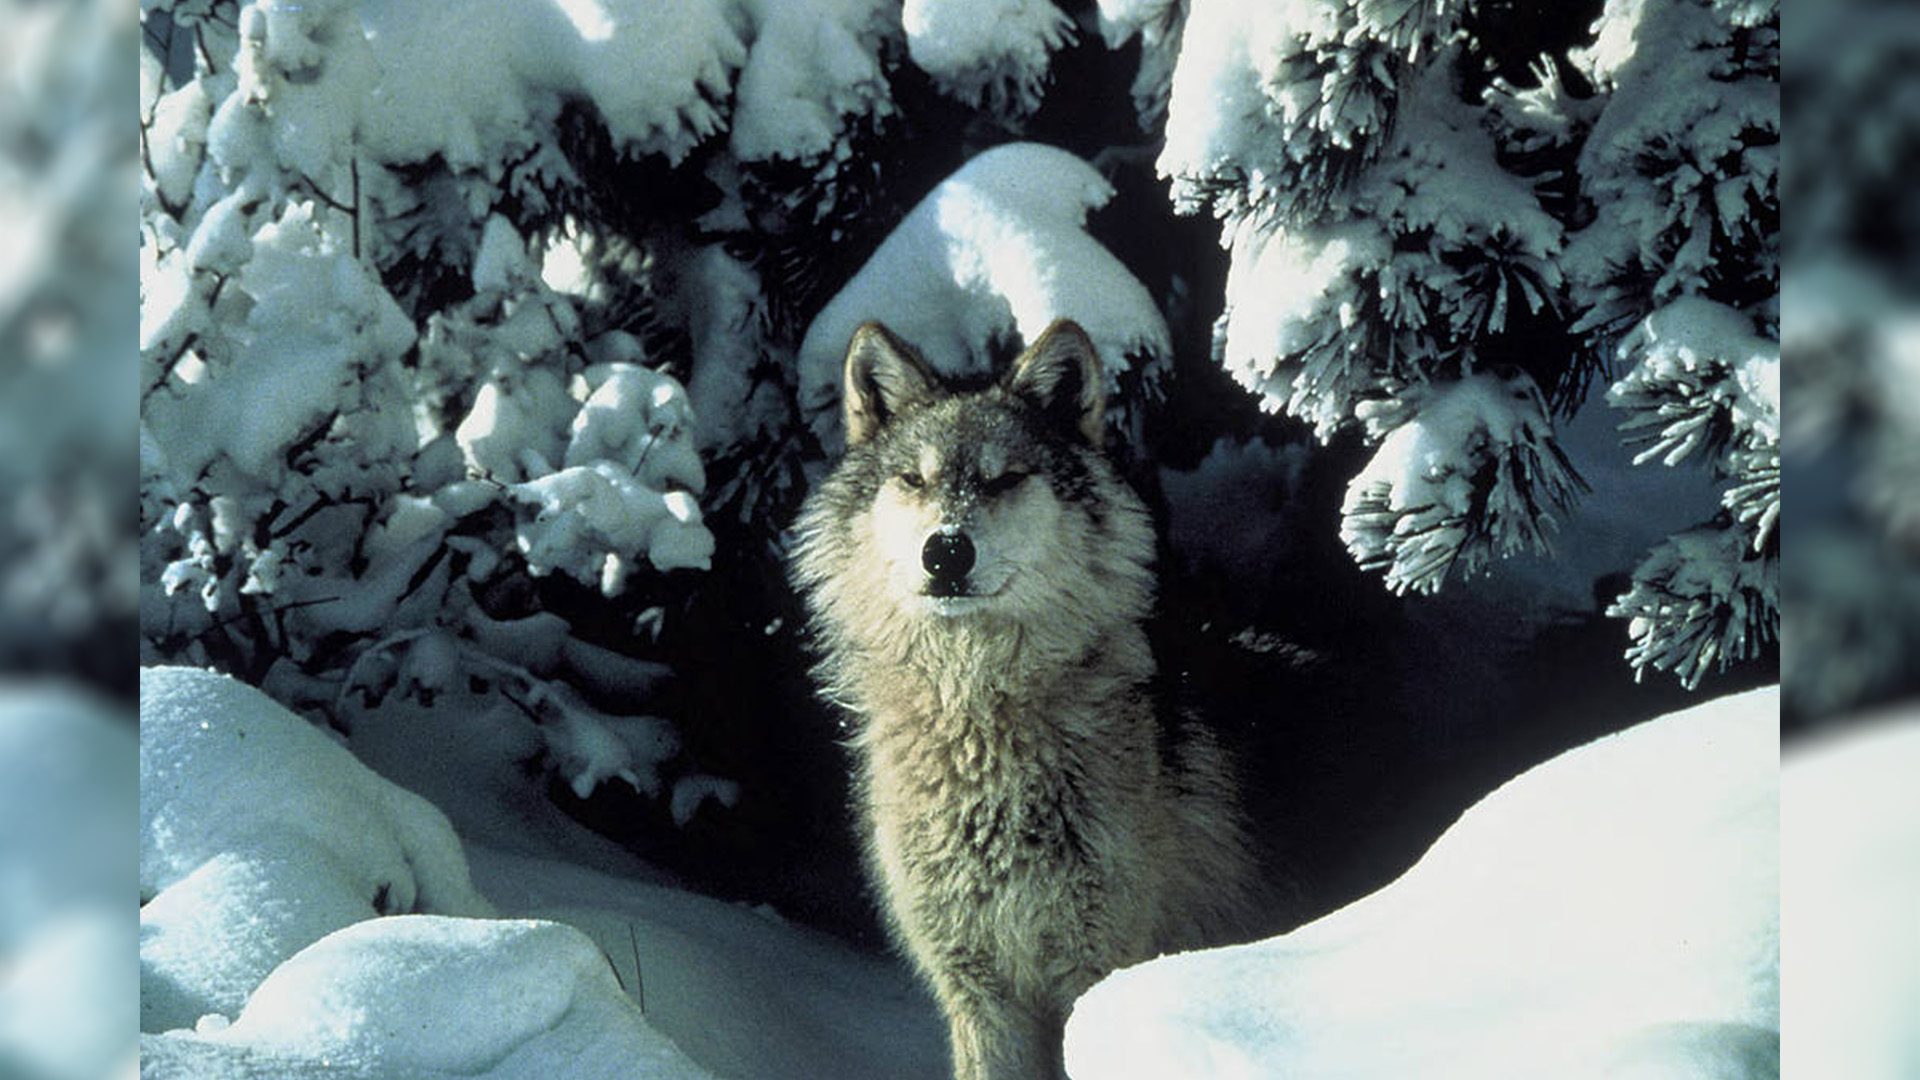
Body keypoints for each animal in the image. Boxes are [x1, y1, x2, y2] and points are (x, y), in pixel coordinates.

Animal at [790, 319, 1265, 1080]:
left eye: (1005, 478)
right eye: (914, 479)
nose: (945, 551)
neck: (978, 725)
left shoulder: (1095, 972)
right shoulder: (979, 993)